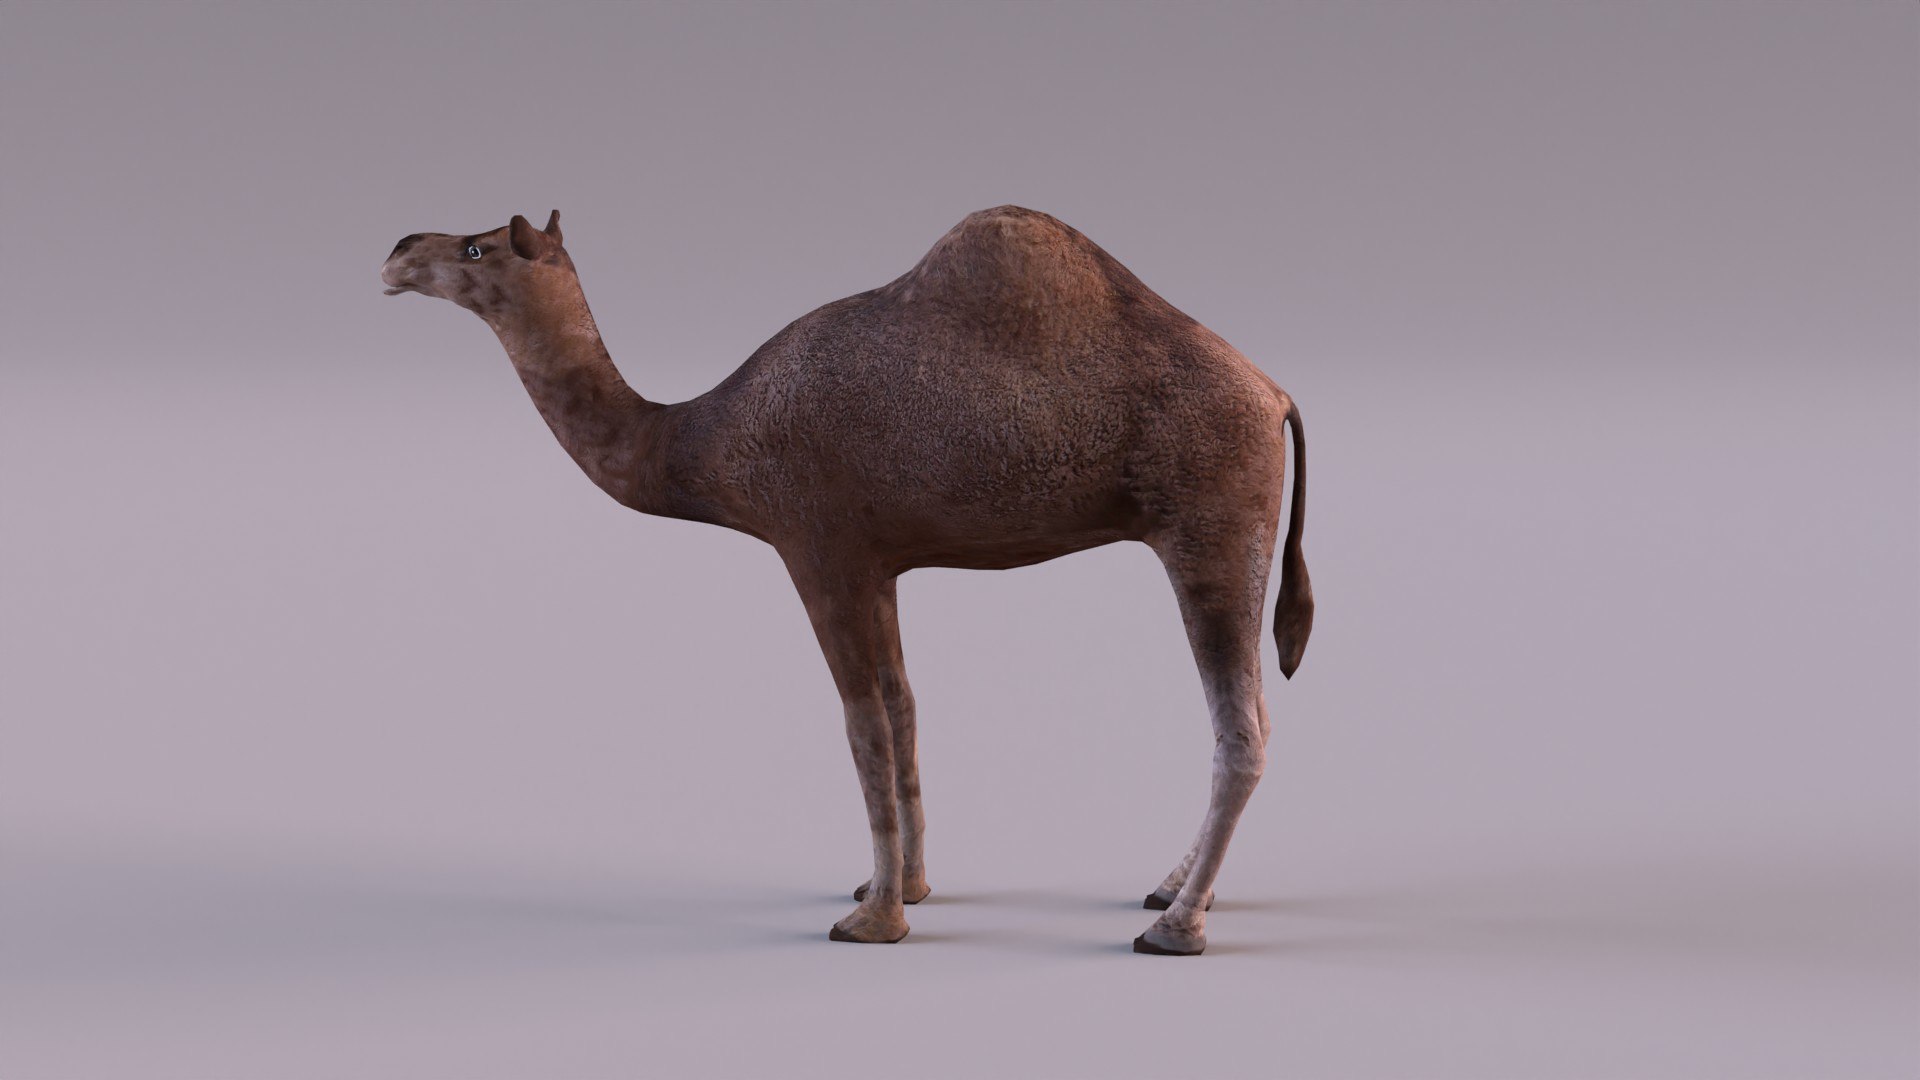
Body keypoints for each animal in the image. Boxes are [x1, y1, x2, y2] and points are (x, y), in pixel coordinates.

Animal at [379, 206, 1311, 955]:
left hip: (1211, 526)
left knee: (1240, 731)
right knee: (1260, 716)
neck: (700, 440)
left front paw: (873, 921)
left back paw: (1174, 927)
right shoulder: (879, 559)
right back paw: (1173, 886)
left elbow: (861, 725)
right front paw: (904, 888)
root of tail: (1277, 393)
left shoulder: (817, 546)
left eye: (476, 245)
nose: (395, 251)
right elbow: (902, 710)